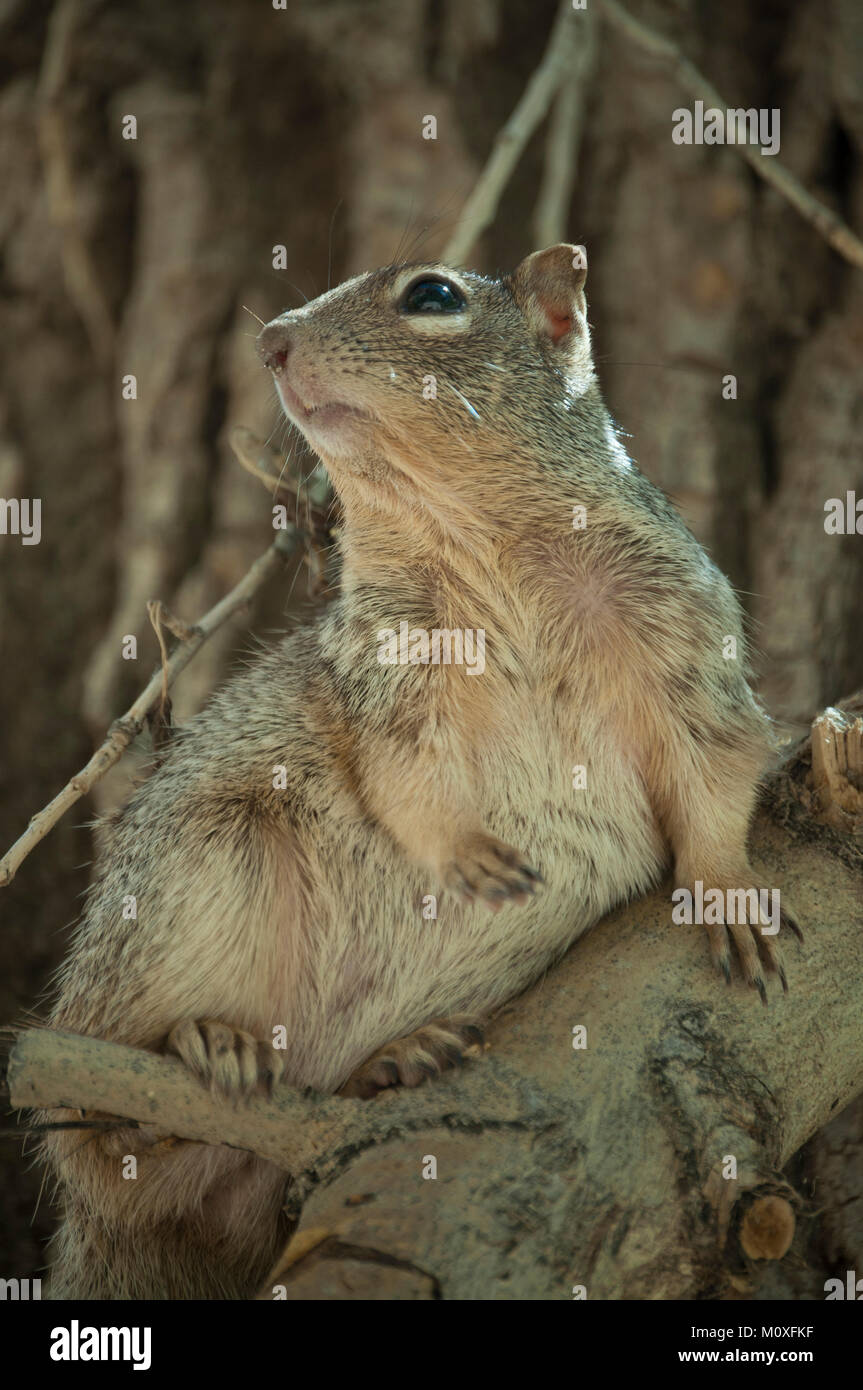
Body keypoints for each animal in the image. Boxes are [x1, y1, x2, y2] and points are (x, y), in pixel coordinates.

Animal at [40, 243, 797, 1299]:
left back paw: (392, 1064)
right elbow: (404, 777)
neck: (474, 537)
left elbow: (715, 770)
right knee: (104, 1147)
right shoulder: (389, 671)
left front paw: (727, 894)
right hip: (196, 883)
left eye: (432, 296)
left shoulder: (683, 636)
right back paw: (199, 1054)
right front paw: (466, 855)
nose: (272, 342)